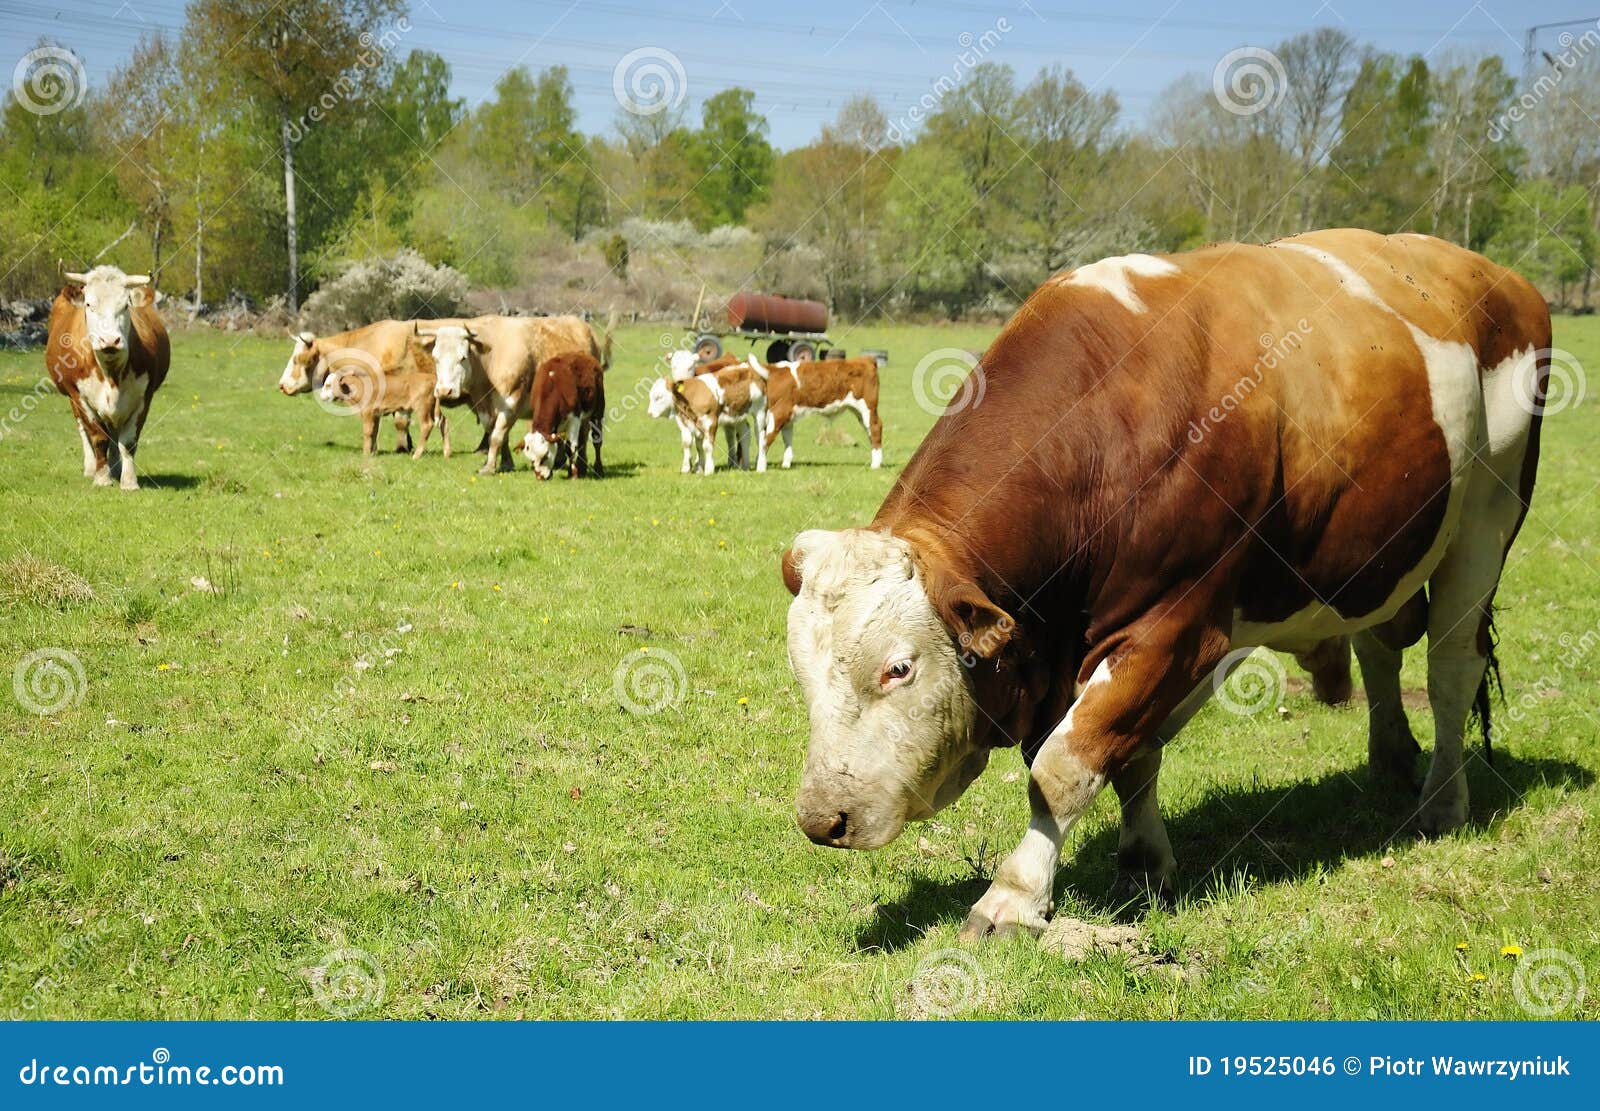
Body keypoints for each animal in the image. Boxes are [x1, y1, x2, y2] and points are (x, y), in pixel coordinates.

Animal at [46, 266, 170, 490]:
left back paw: (116, 467)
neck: (111, 373)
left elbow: (127, 442)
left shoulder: (143, 398)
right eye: (89, 304)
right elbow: (98, 437)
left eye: (126, 305)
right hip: (71, 399)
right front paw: (102, 478)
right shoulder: (79, 397)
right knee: (83, 430)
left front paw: (129, 481)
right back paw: (91, 467)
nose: (110, 340)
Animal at [319, 363, 450, 458]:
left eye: (328, 385)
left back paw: (416, 455)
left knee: (427, 425)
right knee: (443, 422)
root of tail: (432, 378)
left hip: (422, 407)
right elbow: (374, 431)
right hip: (433, 408)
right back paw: (447, 453)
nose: (321, 396)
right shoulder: (376, 415)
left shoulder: (368, 412)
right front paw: (372, 453)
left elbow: (367, 432)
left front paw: (365, 454)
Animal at [422, 315, 605, 475]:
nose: (444, 391)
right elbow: (497, 434)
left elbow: (497, 435)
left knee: (587, 435)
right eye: (435, 358)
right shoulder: (484, 407)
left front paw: (489, 467)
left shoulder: (511, 403)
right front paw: (505, 463)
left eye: (462, 358)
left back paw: (585, 466)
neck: (490, 359)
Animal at [751, 356, 882, 469]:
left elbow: (766, 440)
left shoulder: (780, 411)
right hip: (859, 411)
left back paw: (875, 465)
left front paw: (760, 466)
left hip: (868, 407)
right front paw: (785, 465)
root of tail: (865, 359)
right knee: (870, 431)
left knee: (875, 427)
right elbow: (785, 439)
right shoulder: (785, 417)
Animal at [779, 229, 1548, 942]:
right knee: (1381, 650)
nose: (823, 819)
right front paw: (1145, 863)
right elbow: (1129, 755)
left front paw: (1014, 896)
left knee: (1451, 671)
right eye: (802, 672)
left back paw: (1442, 801)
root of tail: (1502, 279)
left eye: (899, 668)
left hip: (1486, 520)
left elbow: (1063, 766)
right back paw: (1389, 759)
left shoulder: (1174, 624)